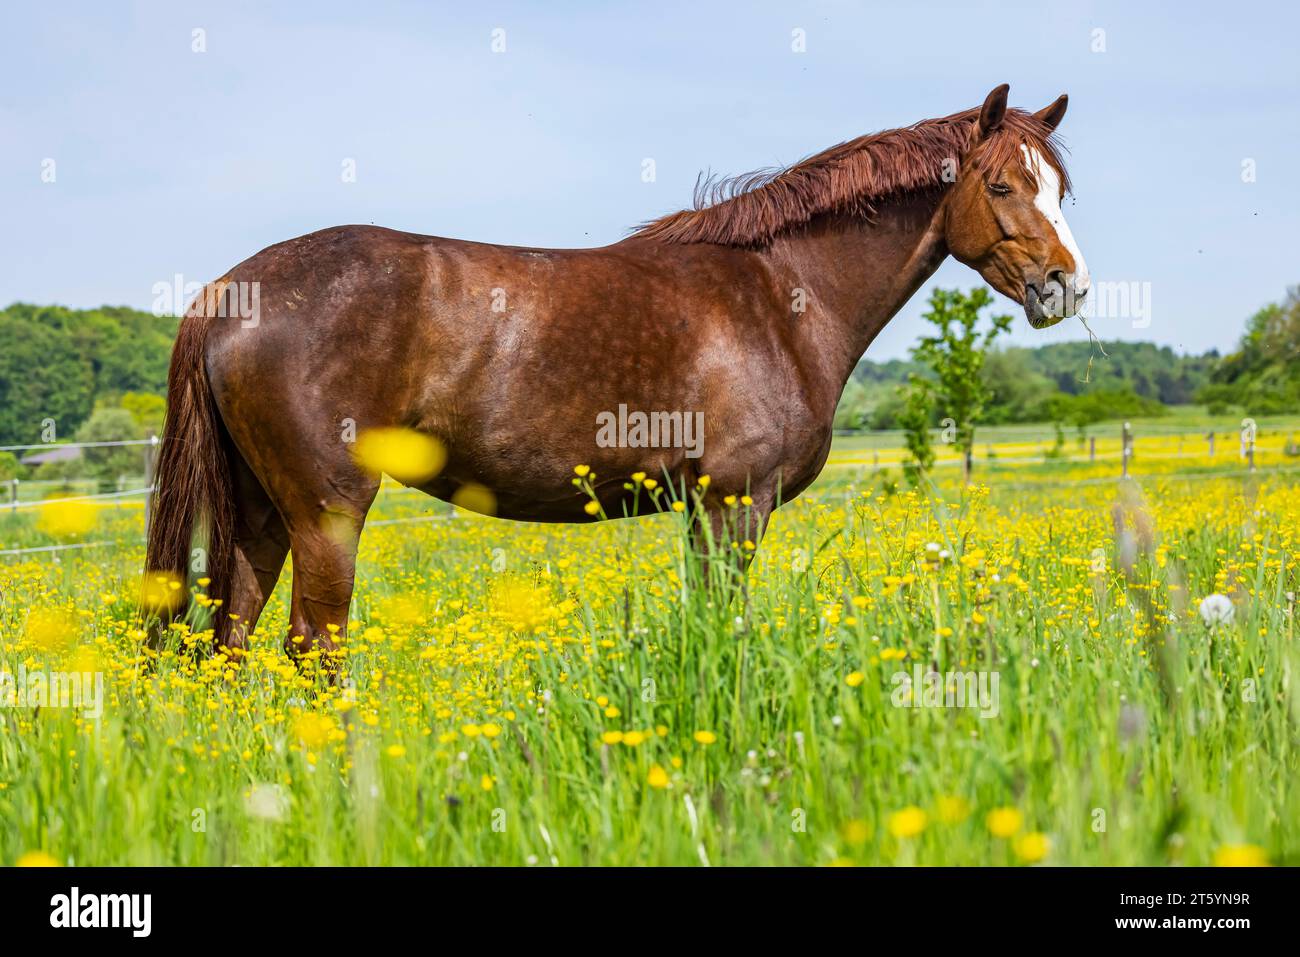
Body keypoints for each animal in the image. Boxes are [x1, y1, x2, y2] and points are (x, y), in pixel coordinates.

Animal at [143, 83, 1090, 665]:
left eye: (1058, 189)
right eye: (1001, 186)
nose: (1066, 287)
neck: (780, 293)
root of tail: (230, 291)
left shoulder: (704, 508)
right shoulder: (735, 502)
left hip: (262, 509)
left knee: (232, 636)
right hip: (327, 508)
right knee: (313, 644)